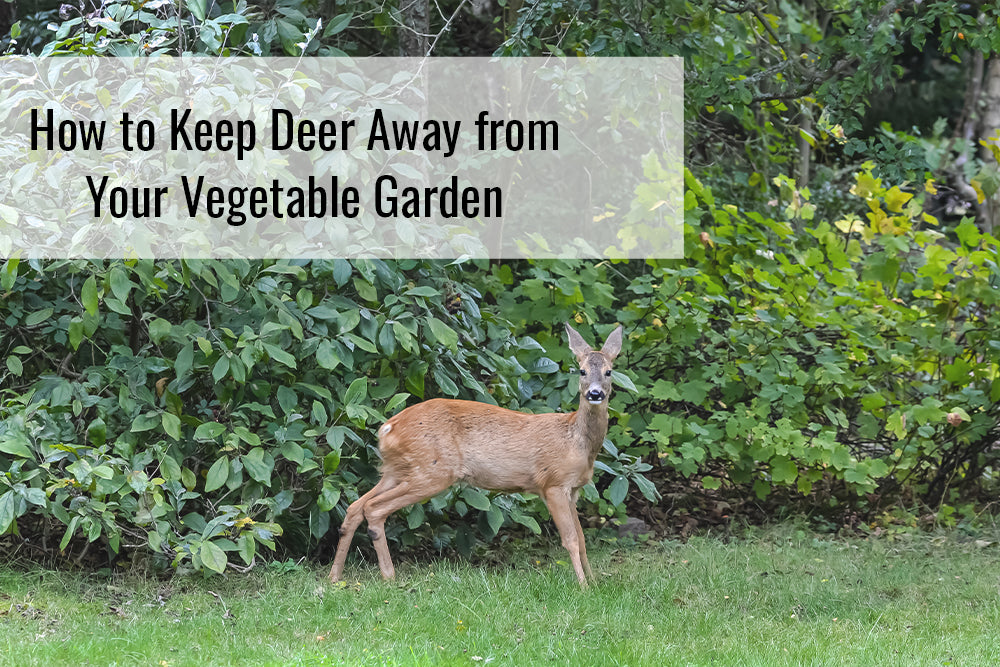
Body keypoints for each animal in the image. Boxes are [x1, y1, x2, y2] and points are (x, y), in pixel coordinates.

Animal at [328, 323, 624, 587]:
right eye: (582, 371)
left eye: (609, 371)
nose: (595, 393)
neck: (575, 440)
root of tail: (387, 428)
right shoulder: (553, 483)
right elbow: (571, 539)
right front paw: (584, 587)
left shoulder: (573, 489)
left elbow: (582, 539)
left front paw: (595, 582)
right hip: (432, 471)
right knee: (373, 508)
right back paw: (388, 577)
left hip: (396, 470)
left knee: (355, 506)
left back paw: (335, 577)